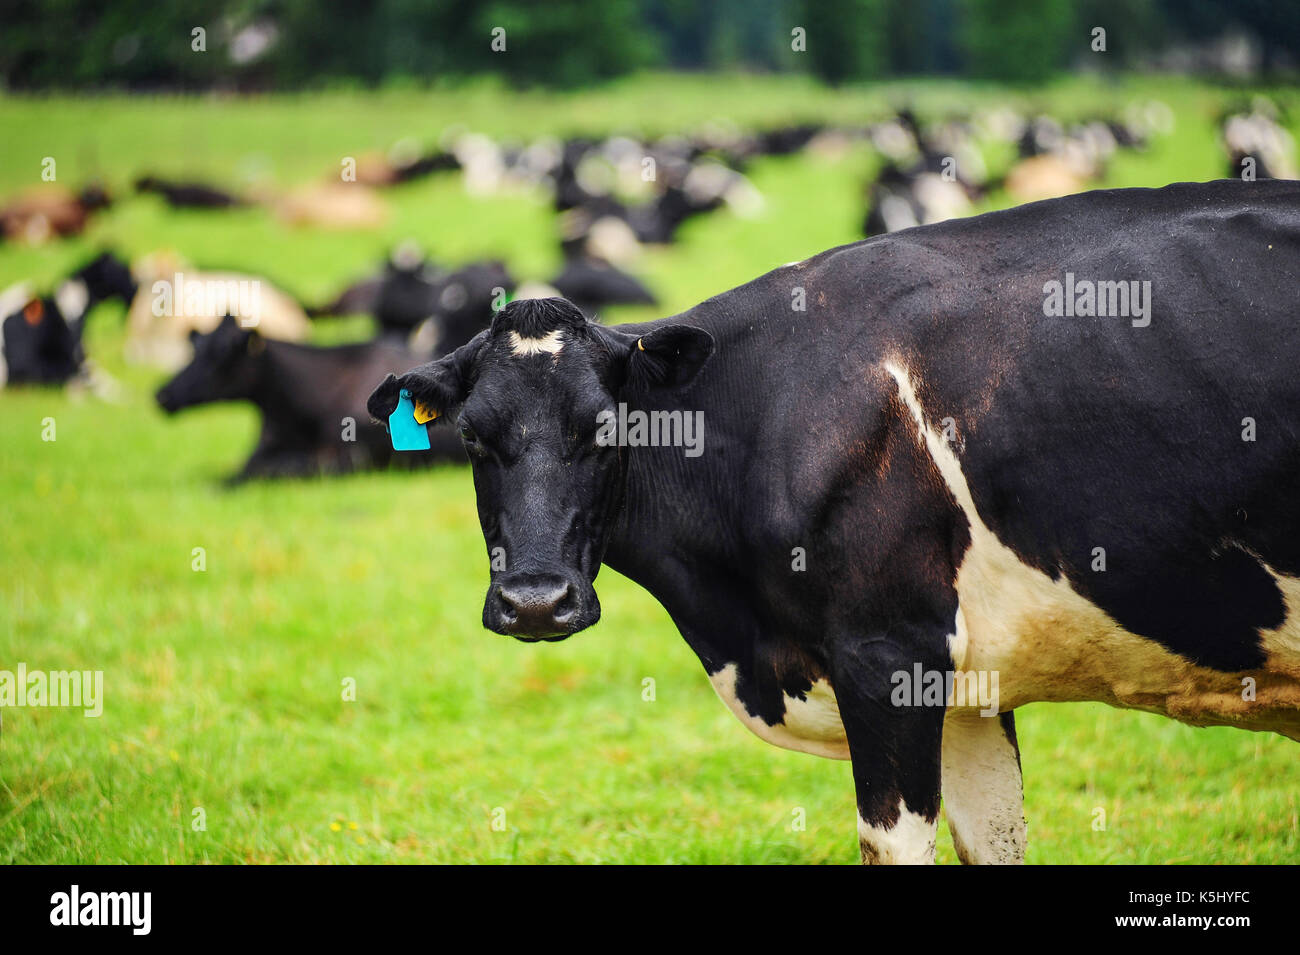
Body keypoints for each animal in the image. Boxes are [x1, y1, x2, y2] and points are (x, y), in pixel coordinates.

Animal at [158, 315, 461, 481]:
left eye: (221, 355)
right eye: (195, 349)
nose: (162, 394)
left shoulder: (349, 457)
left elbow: (280, 468)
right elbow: (240, 468)